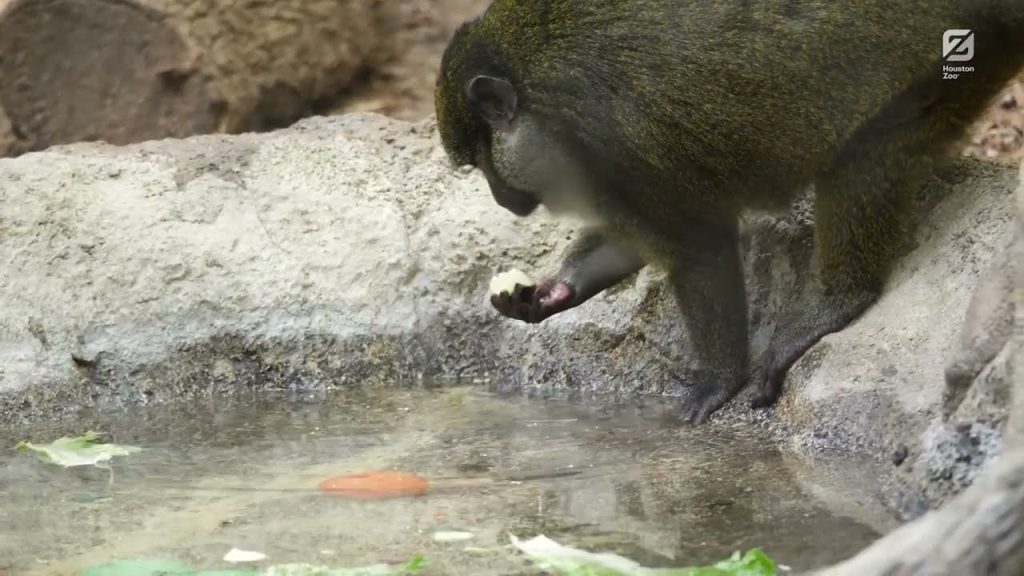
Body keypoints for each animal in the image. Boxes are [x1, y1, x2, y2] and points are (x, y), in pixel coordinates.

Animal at [434, 1, 1024, 423]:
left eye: (484, 161)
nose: (500, 198)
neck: (540, 82)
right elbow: (632, 237)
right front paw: (547, 295)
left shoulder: (623, 142)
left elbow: (698, 245)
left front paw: (719, 379)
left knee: (869, 149)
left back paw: (840, 299)